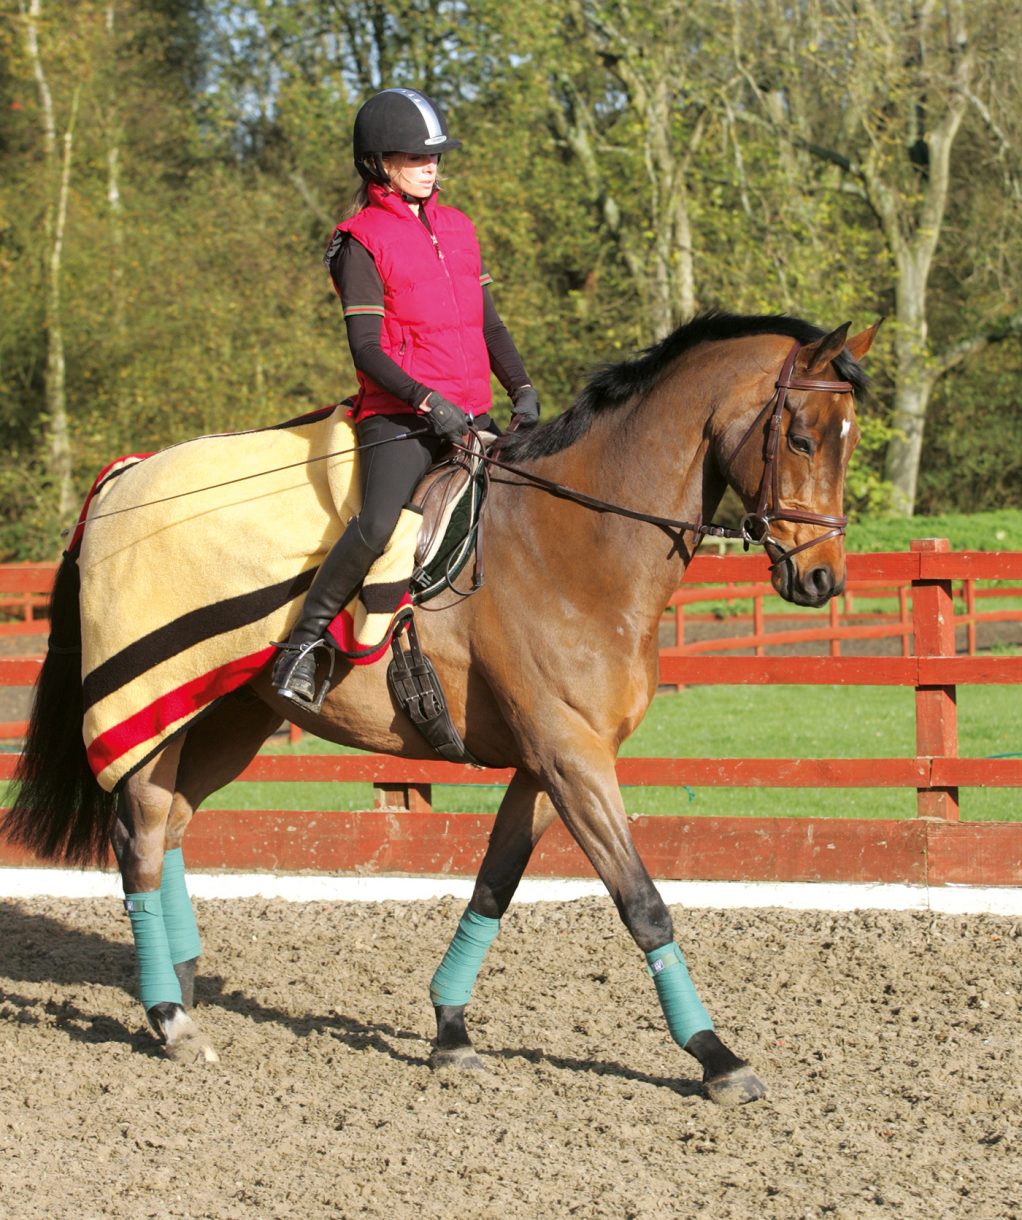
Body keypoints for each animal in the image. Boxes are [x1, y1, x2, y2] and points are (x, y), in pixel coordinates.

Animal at [4, 310, 877, 1105]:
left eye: (851, 437)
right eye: (803, 438)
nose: (822, 580)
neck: (575, 542)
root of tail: (128, 473)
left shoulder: (549, 765)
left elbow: (494, 886)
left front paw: (451, 1032)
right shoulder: (571, 758)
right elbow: (644, 905)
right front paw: (715, 1056)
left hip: (226, 713)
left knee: (172, 826)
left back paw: (180, 986)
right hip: (154, 713)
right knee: (141, 832)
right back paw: (170, 1018)